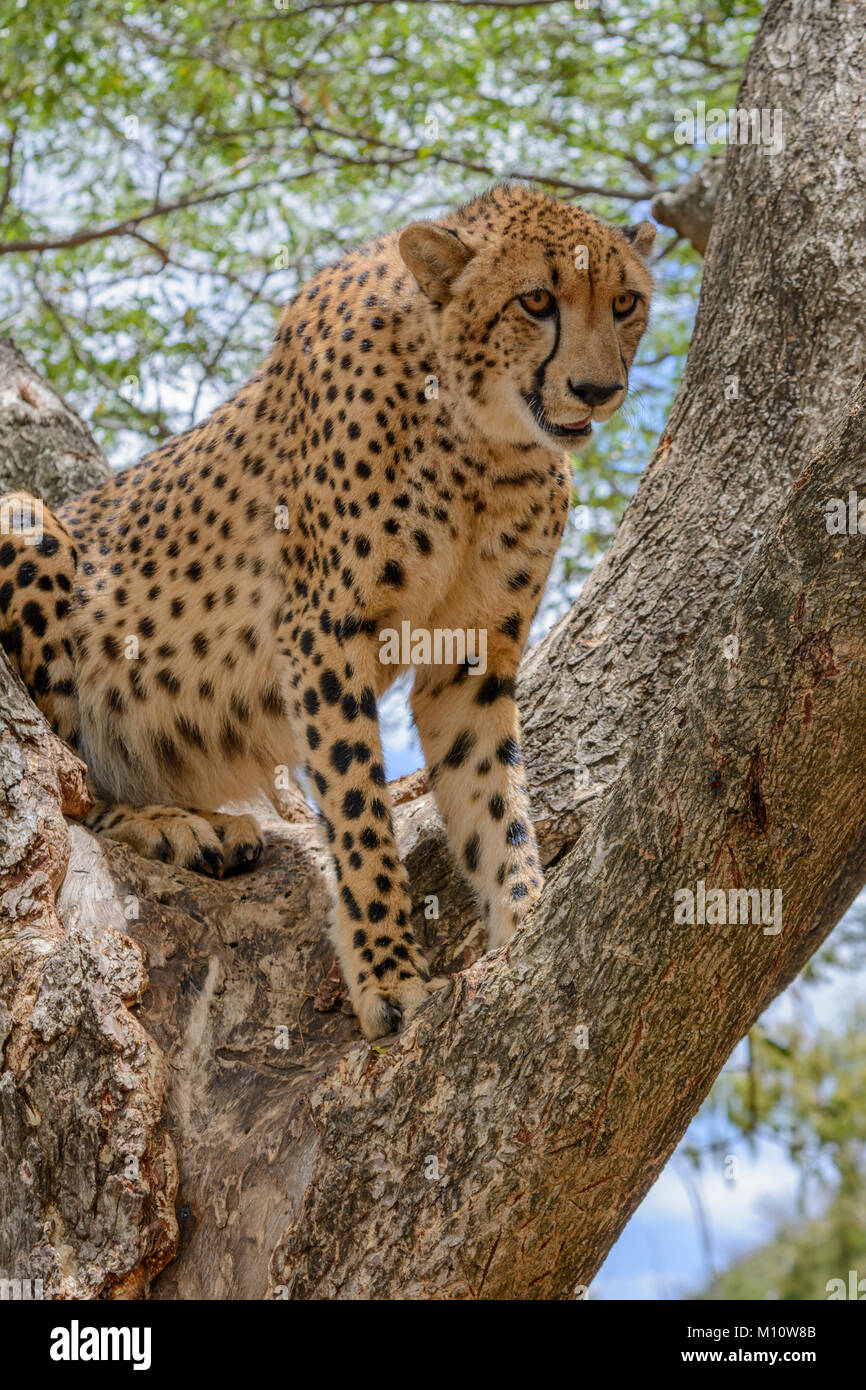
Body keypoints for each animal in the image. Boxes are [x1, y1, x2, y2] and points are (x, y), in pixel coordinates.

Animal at [0, 182, 655, 1039]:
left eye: (625, 303)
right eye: (537, 301)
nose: (597, 391)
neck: (482, 438)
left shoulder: (472, 659)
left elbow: (494, 798)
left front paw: (526, 921)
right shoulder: (324, 635)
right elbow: (359, 810)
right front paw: (389, 974)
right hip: (25, 517)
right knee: (72, 781)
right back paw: (179, 824)